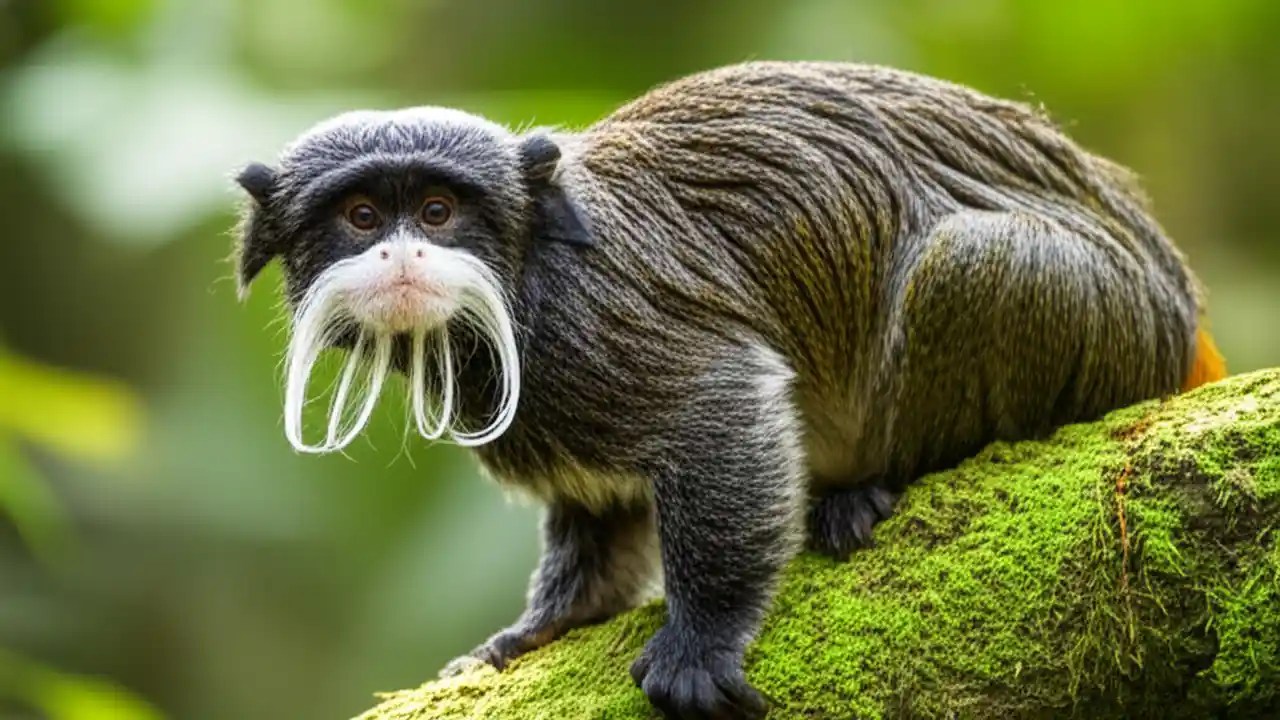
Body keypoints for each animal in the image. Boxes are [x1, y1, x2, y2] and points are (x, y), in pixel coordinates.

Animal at [231, 62, 1227, 719]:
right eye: (363, 216)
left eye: (438, 213)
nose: (403, 255)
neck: (526, 279)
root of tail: (1178, 300)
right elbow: (597, 519)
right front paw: (546, 623)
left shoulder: (601, 328)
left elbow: (721, 405)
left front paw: (702, 641)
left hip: (1113, 313)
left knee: (968, 263)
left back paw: (871, 486)